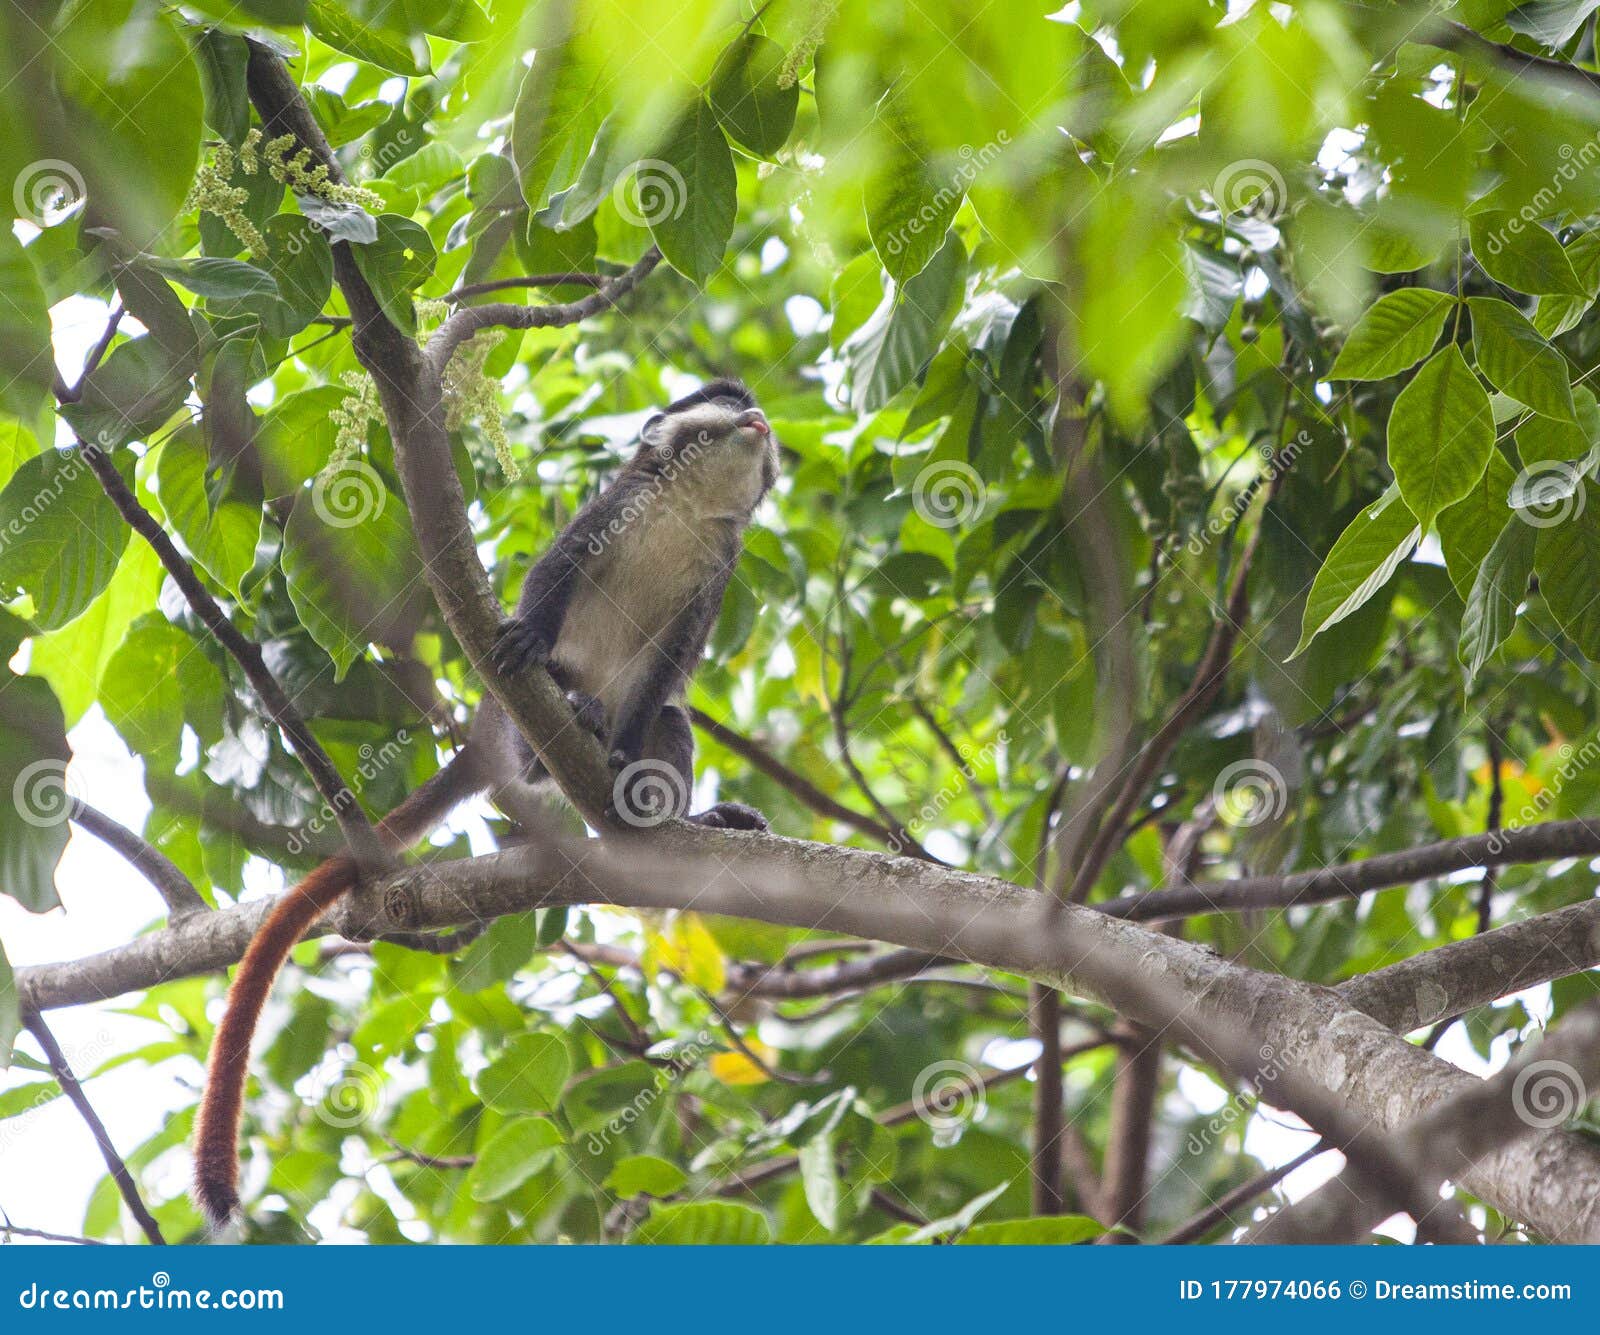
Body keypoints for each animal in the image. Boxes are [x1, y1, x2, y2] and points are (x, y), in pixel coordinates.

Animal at [192, 379, 777, 1229]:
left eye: (747, 404)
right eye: (726, 403)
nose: (756, 417)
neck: (688, 508)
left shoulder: (717, 570)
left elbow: (670, 671)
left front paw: (635, 767)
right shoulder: (619, 507)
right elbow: (554, 574)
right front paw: (533, 639)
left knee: (668, 719)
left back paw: (661, 802)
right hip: (511, 715)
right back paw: (563, 716)